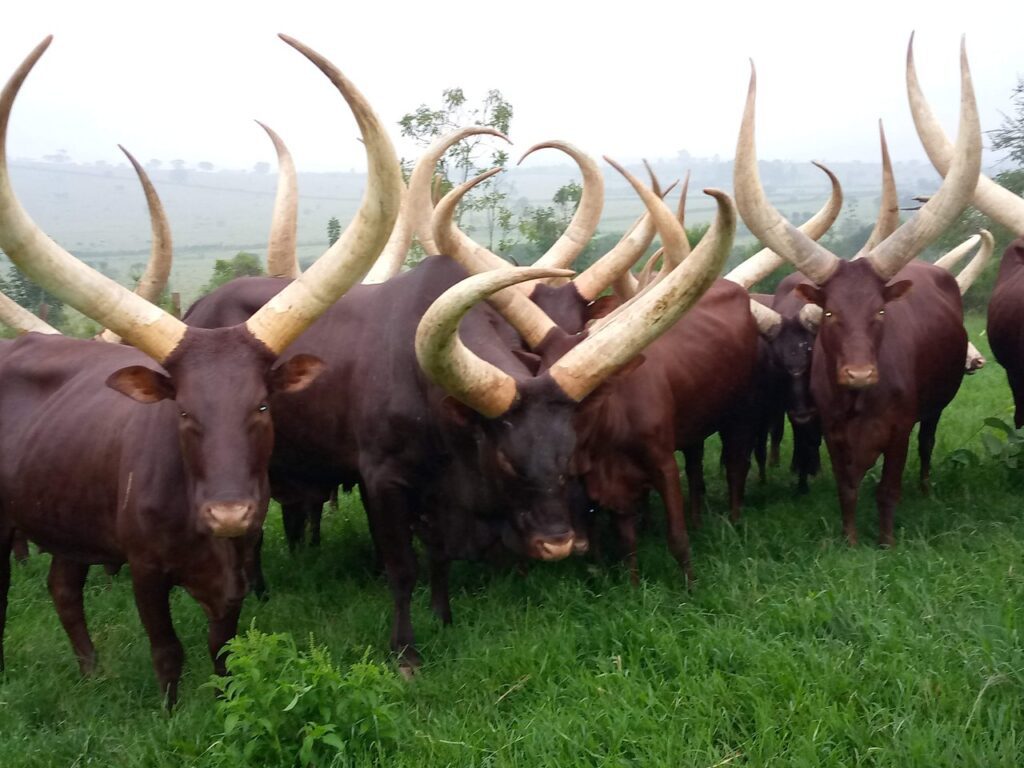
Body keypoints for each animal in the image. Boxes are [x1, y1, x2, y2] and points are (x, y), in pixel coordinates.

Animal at [0, 34, 403, 705]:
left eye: (262, 405)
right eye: (184, 413)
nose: (229, 513)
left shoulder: (233, 573)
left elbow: (222, 649)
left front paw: (220, 699)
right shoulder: (142, 570)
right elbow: (168, 651)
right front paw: (168, 711)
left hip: (66, 520)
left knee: (63, 587)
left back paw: (91, 670)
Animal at [733, 41, 980, 546]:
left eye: (882, 312)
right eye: (829, 314)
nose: (860, 373)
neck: (859, 403)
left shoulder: (899, 431)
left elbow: (888, 488)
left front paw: (884, 542)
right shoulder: (832, 431)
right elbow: (846, 486)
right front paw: (849, 540)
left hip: (936, 407)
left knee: (928, 445)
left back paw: (926, 487)